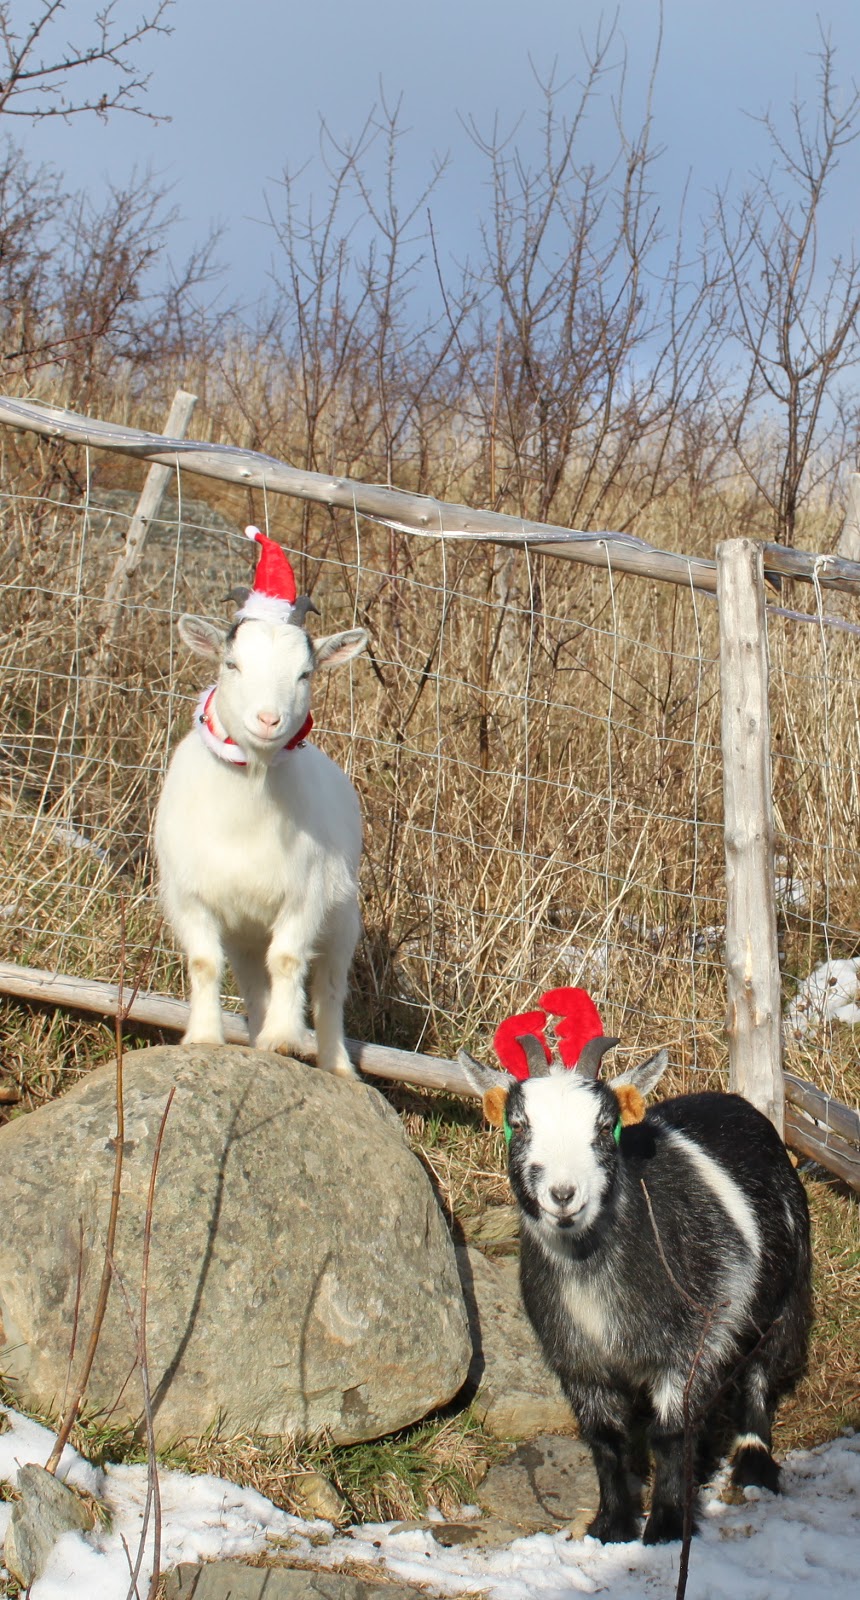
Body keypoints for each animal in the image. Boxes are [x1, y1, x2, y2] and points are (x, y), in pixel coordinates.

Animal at [154, 529, 368, 1077]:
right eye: (232, 664)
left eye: (305, 673)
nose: (269, 721)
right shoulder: (190, 896)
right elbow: (204, 962)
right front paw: (204, 1037)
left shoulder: (306, 895)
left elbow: (290, 960)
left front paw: (282, 1040)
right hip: (246, 931)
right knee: (254, 983)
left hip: (342, 918)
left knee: (329, 987)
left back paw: (336, 1064)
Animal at [460, 987, 812, 1545]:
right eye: (518, 1124)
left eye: (606, 1126)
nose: (564, 1194)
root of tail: (736, 1101)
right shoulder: (577, 1360)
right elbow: (605, 1439)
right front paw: (611, 1526)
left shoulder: (694, 1342)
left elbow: (671, 1434)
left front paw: (666, 1526)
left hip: (787, 1291)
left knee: (761, 1370)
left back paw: (754, 1464)